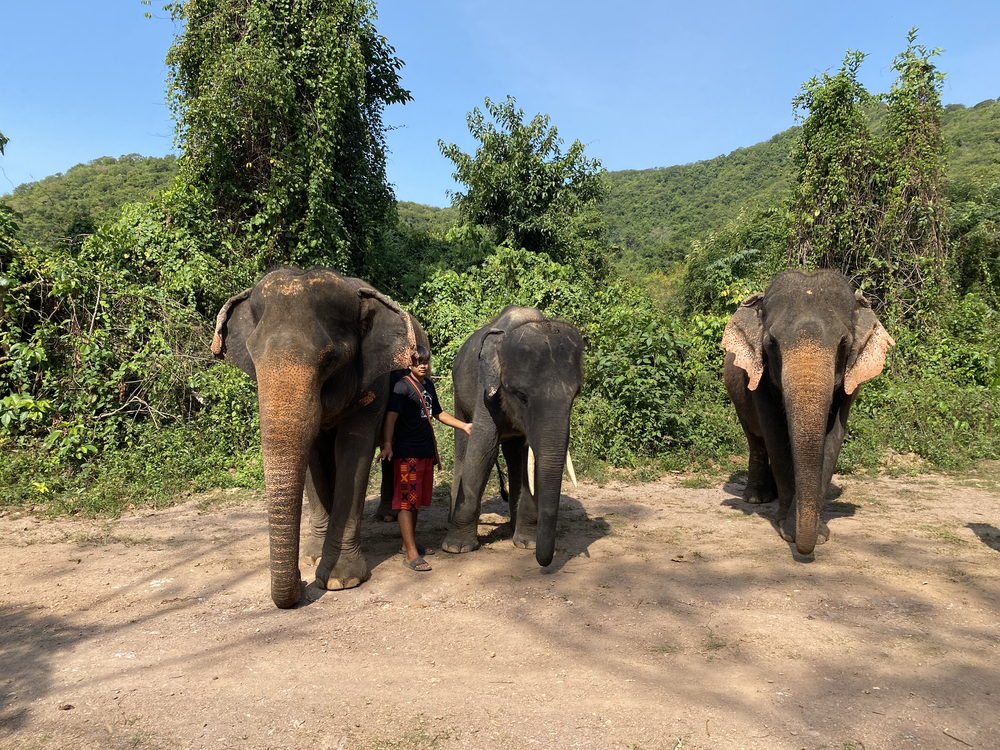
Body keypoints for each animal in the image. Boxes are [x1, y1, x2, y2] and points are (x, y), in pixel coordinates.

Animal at [212, 266, 426, 608]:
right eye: (252, 359)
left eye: (329, 360)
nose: (301, 581)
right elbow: (314, 456)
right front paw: (313, 557)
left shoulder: (374, 380)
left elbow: (354, 449)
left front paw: (341, 580)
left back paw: (387, 516)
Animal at [442, 306, 584, 566]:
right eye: (521, 395)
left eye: (575, 395)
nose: (544, 562)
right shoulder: (485, 389)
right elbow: (482, 449)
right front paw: (456, 548)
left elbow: (531, 460)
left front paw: (527, 543)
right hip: (459, 391)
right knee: (463, 447)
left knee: (516, 457)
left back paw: (514, 527)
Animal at [721, 269, 895, 555]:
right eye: (771, 342)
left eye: (844, 343)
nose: (805, 550)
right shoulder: (759, 379)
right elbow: (777, 436)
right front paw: (788, 530)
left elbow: (833, 437)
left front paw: (818, 534)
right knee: (756, 440)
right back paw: (757, 497)